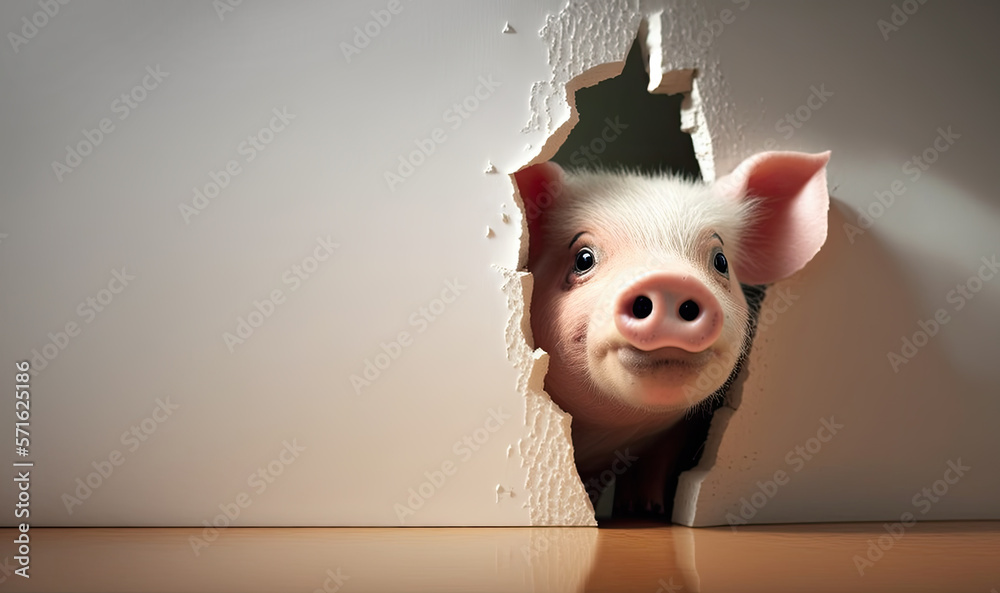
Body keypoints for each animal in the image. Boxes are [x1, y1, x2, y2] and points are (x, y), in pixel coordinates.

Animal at [515, 151, 831, 515]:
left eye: (721, 261)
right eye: (583, 259)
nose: (670, 280)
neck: (604, 435)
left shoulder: (672, 435)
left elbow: (654, 466)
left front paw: (644, 511)